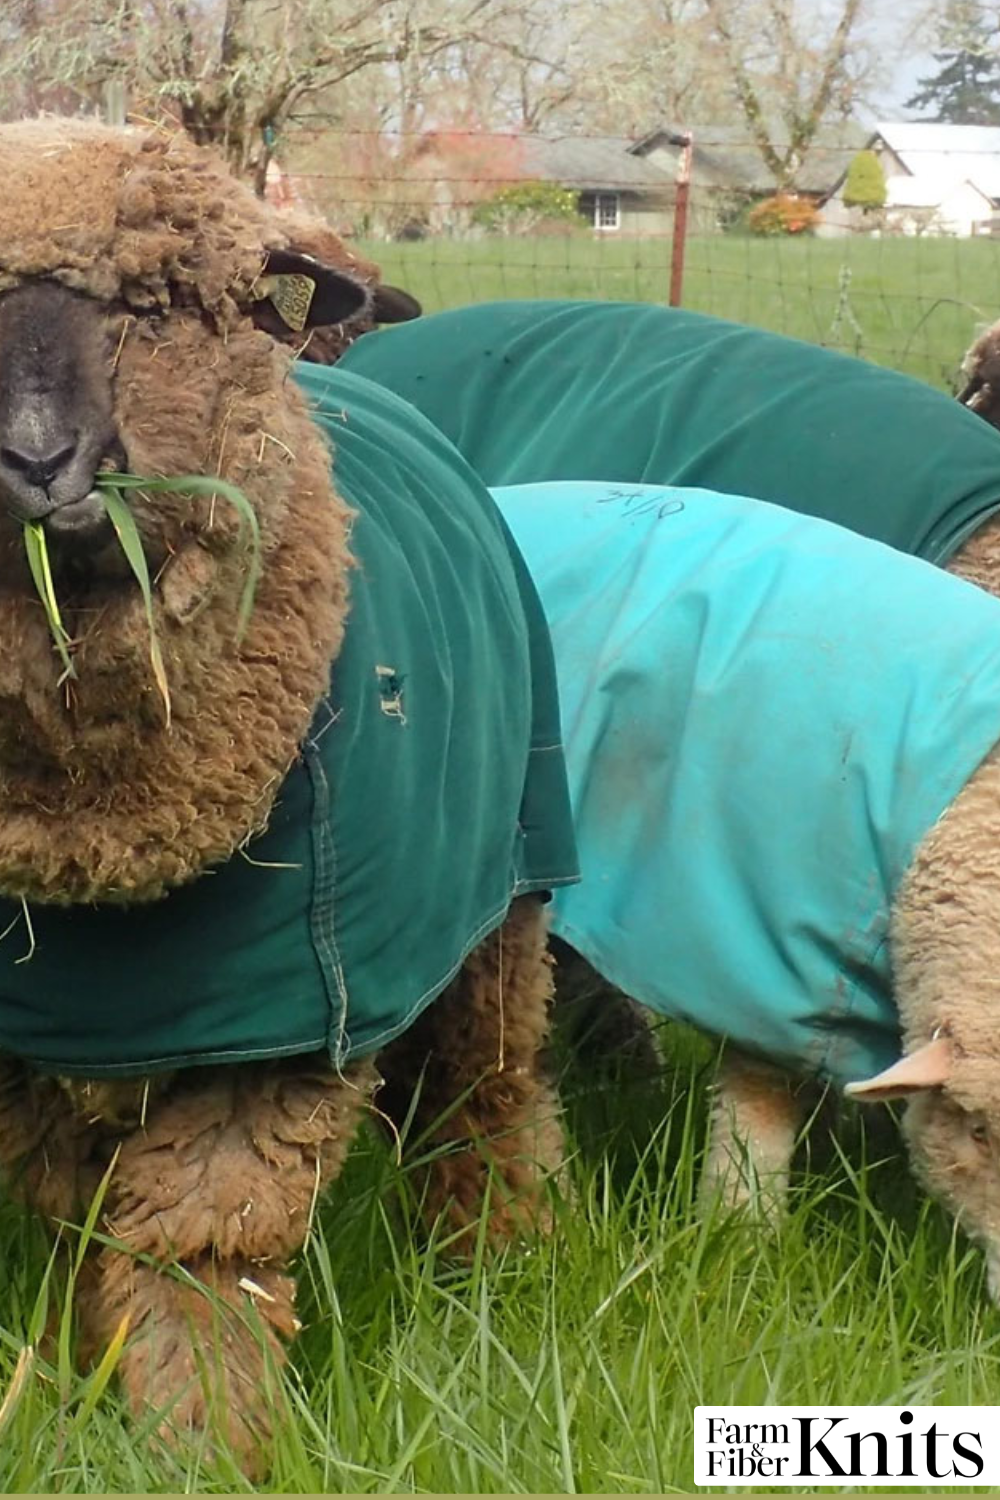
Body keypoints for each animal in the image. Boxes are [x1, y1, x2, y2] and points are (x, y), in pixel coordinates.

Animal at [0, 121, 577, 1470]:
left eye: (161, 305)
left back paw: (498, 1262)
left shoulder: (287, 1027)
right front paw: (76, 1380)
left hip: (511, 888)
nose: (39, 461)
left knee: (487, 1086)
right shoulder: (34, 1046)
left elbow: (208, 1256)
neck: (107, 856)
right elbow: (65, 1228)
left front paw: (199, 1447)